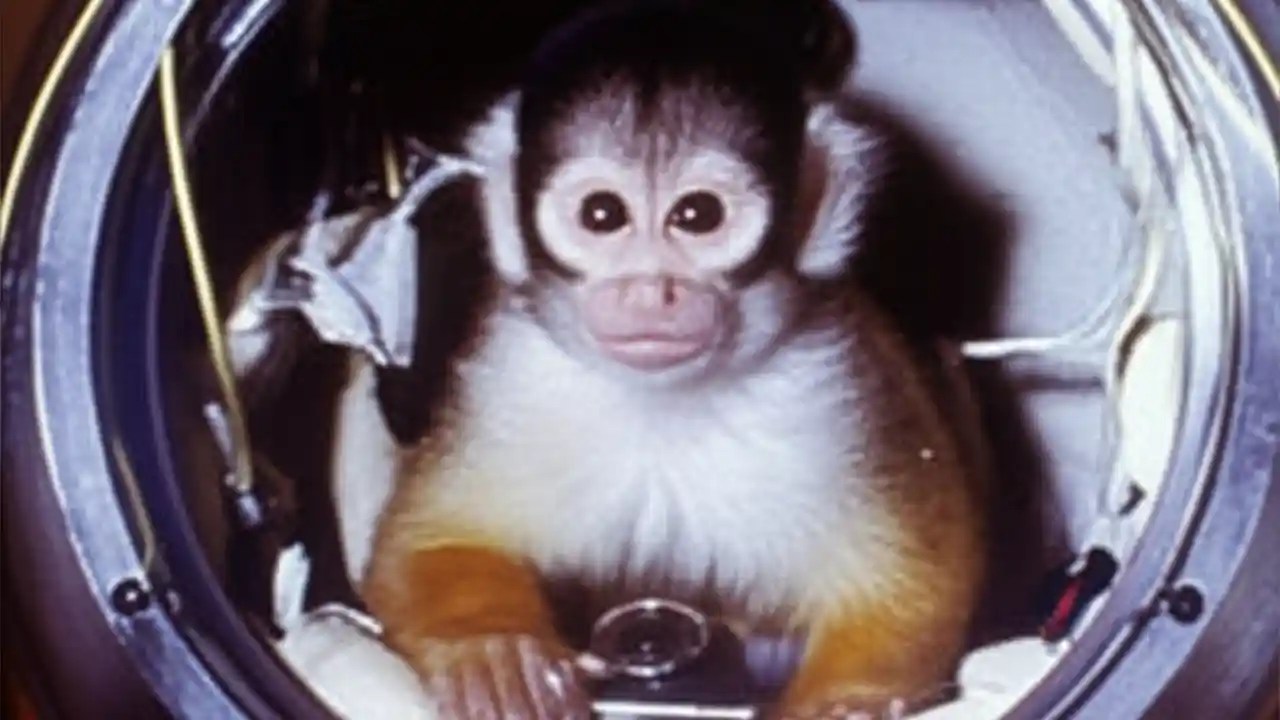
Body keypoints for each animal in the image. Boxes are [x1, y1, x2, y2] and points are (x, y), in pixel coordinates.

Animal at [359, 1, 987, 717]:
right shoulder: (508, 377)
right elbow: (428, 544)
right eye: (602, 214)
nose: (650, 292)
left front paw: (847, 703)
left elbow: (917, 582)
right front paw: (491, 651)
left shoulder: (836, 389)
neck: (665, 401)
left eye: (698, 214)